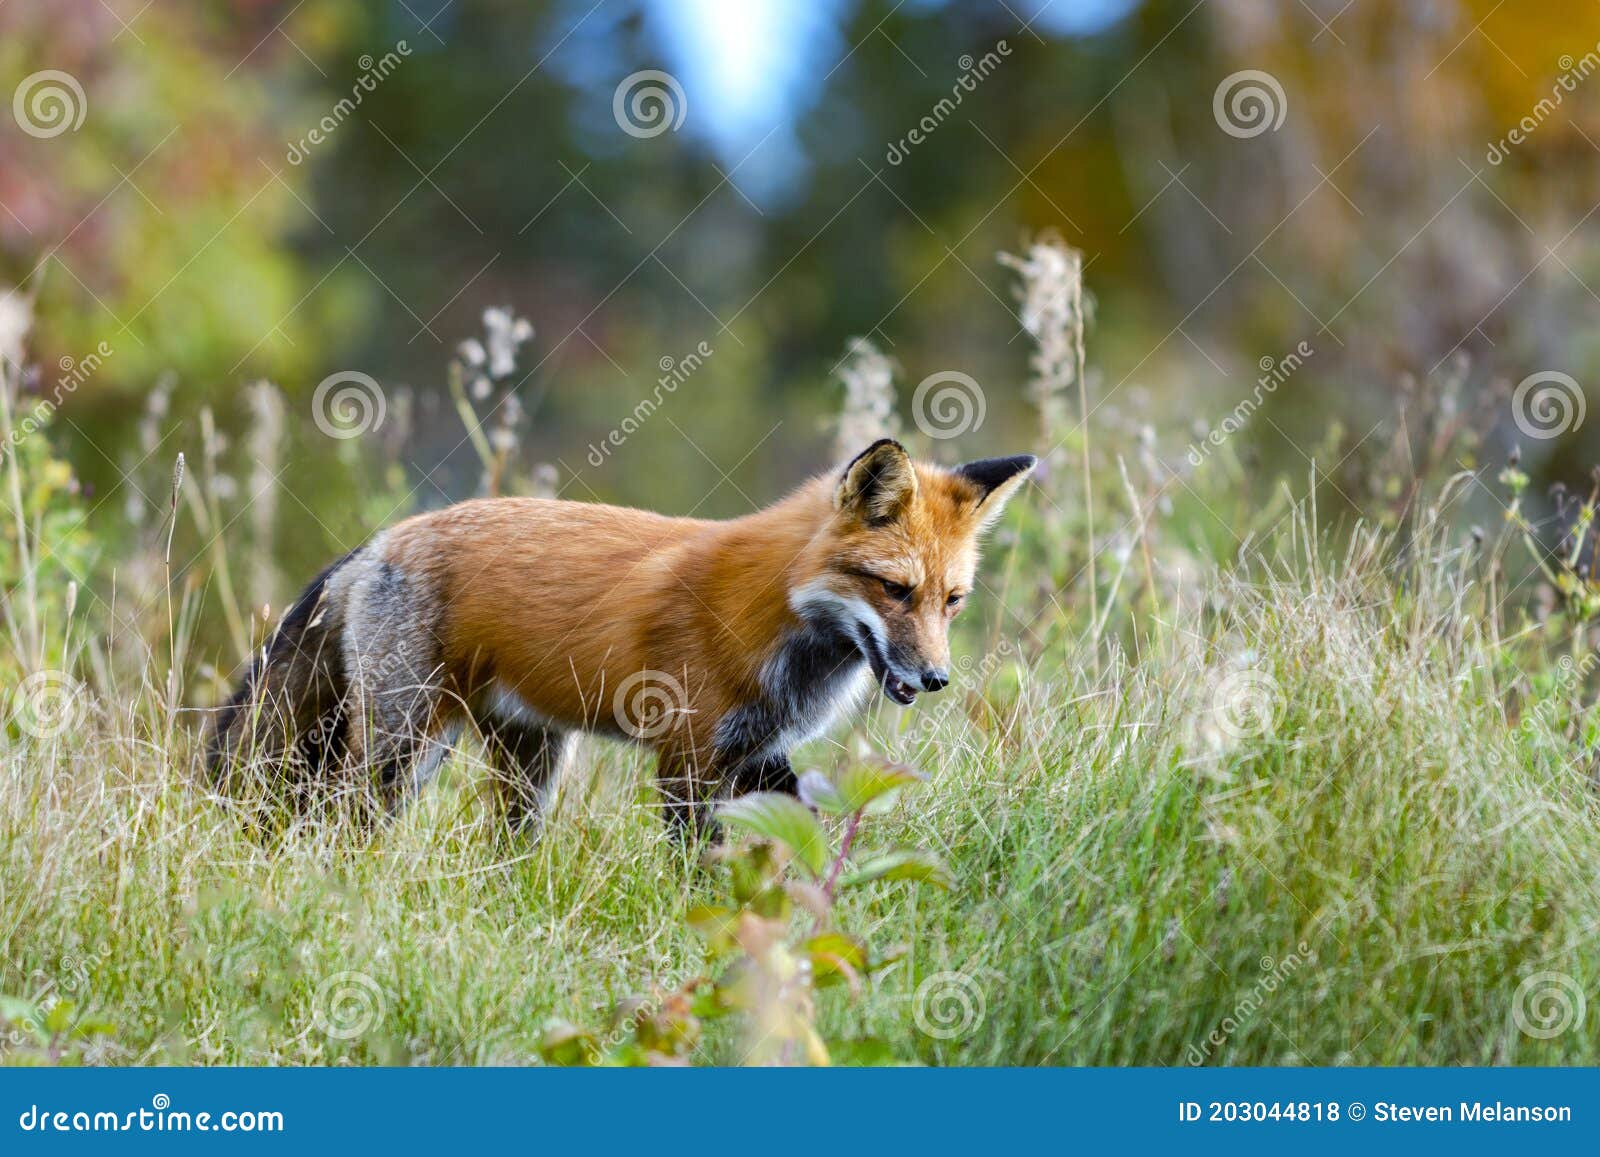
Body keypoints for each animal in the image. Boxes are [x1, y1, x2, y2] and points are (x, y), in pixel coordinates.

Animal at [206, 438, 1035, 834]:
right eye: (895, 590)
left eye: (952, 601)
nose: (936, 678)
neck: (779, 620)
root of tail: (379, 540)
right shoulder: (687, 759)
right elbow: (699, 868)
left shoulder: (758, 754)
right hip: (401, 748)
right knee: (337, 822)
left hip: (531, 764)